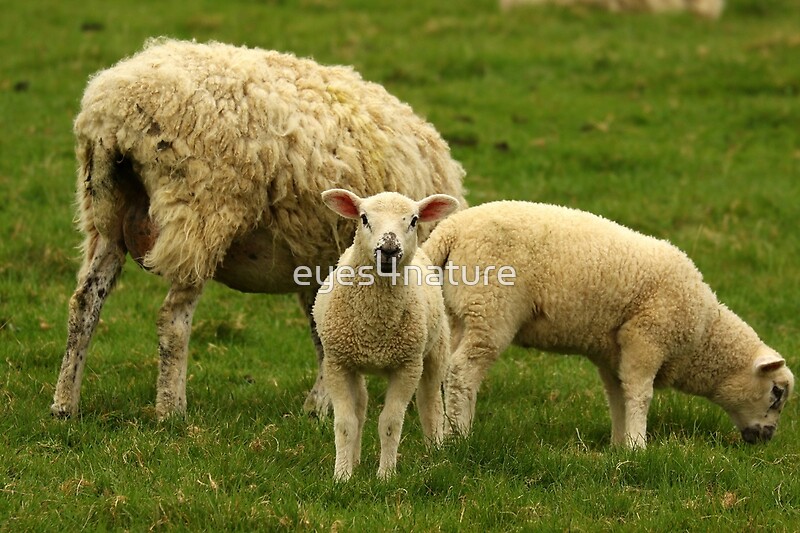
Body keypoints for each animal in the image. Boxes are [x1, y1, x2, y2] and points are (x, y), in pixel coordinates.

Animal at [50, 38, 467, 421]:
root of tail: (116, 111)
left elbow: (322, 332)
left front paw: (321, 405)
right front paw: (325, 404)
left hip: (105, 215)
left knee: (84, 303)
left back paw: (64, 405)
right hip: (200, 216)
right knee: (172, 319)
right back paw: (171, 410)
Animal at [312, 189, 460, 481]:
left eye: (413, 220)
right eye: (364, 218)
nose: (389, 249)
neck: (375, 325)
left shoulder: (407, 366)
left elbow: (390, 422)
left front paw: (385, 476)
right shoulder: (337, 364)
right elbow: (346, 423)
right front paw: (342, 476)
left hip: (436, 349)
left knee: (430, 403)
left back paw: (435, 452)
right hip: (354, 362)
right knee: (361, 407)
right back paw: (355, 460)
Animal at [422, 200, 794, 448]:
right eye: (776, 393)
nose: (767, 437)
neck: (702, 334)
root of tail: (451, 231)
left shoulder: (611, 353)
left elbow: (618, 396)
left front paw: (619, 445)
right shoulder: (646, 337)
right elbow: (641, 394)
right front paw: (638, 445)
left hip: (458, 312)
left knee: (448, 369)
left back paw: (451, 428)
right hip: (490, 308)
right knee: (463, 372)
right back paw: (460, 435)